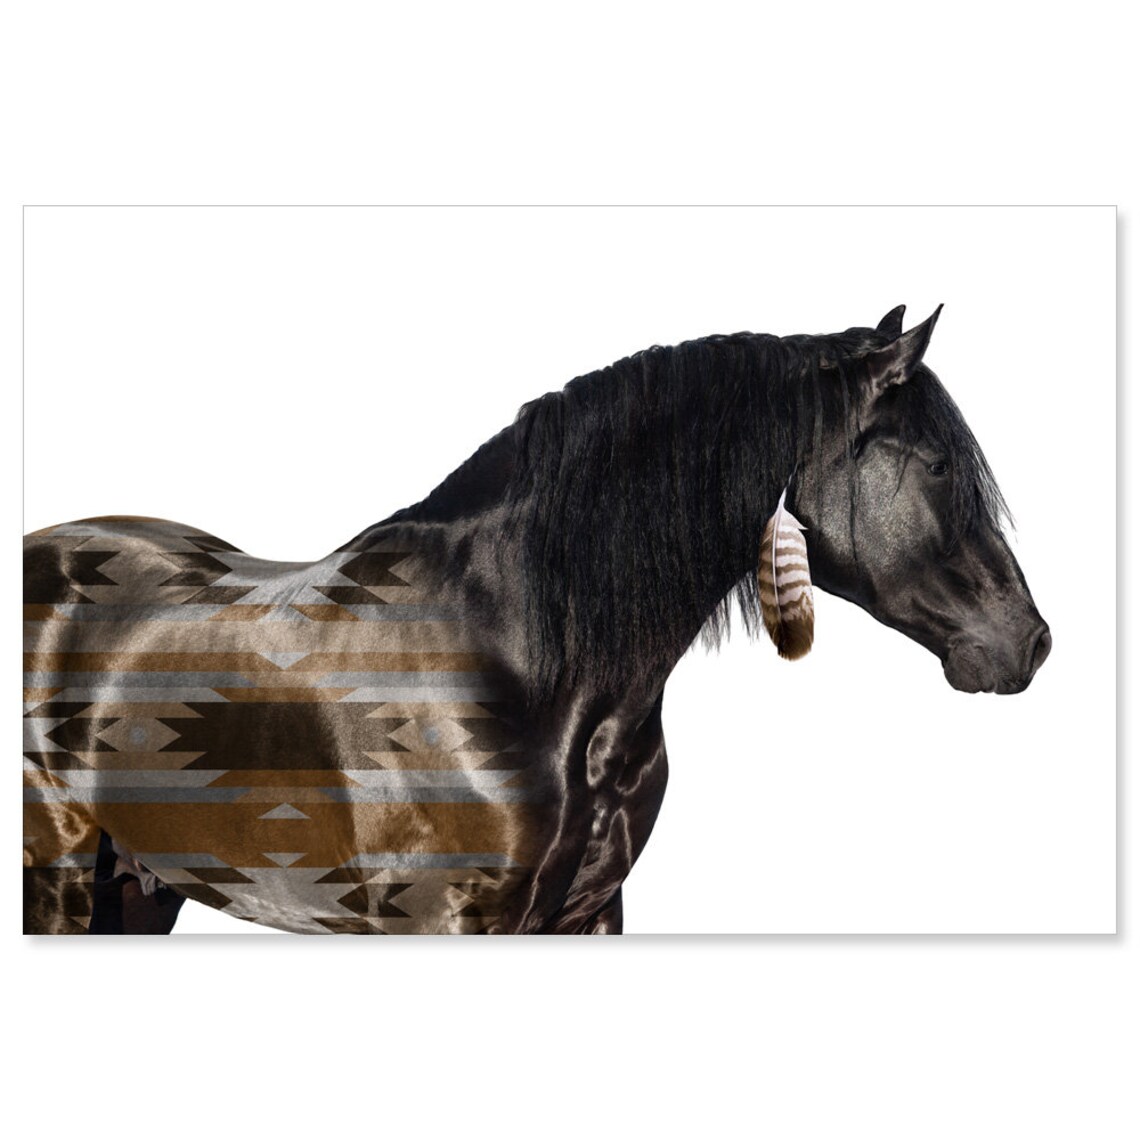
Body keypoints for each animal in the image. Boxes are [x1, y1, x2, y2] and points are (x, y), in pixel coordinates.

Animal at [22, 304, 1051, 935]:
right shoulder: (448, 920)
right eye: (935, 462)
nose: (1030, 643)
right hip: (62, 880)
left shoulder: (590, 911)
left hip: (141, 888)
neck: (521, 655)